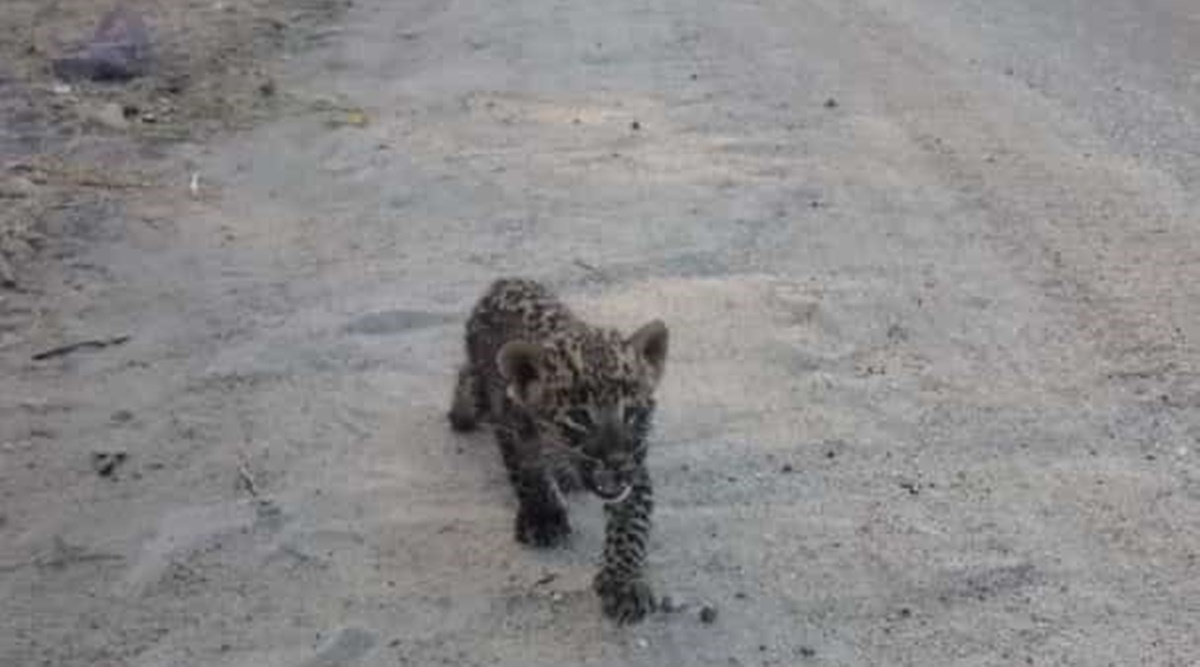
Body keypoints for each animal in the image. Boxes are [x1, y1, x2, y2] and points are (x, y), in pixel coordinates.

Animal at [447, 277, 669, 624]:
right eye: (579, 418)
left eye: (632, 412)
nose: (617, 463)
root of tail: (504, 281)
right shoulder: (512, 426)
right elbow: (528, 472)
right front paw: (544, 516)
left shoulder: (637, 462)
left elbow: (631, 523)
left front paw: (623, 581)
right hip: (481, 386)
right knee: (468, 381)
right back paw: (460, 411)